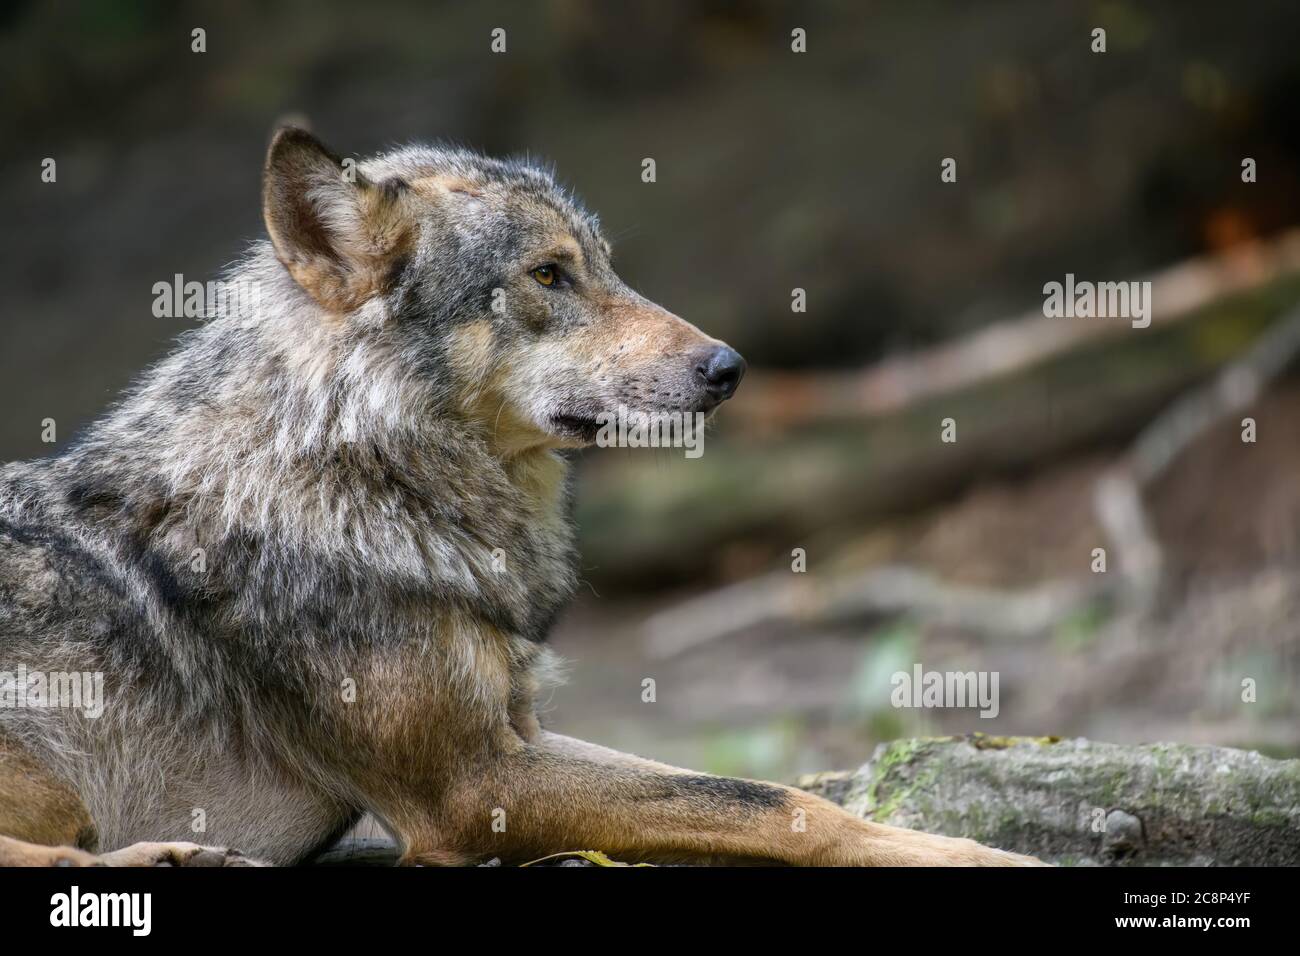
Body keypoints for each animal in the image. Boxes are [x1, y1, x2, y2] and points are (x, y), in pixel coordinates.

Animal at [0, 128, 1039, 866]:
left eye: (608, 266)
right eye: (547, 275)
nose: (730, 368)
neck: (363, 472)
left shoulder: (518, 734)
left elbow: (763, 792)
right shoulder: (470, 786)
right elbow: (771, 800)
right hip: (55, 778)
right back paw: (165, 857)